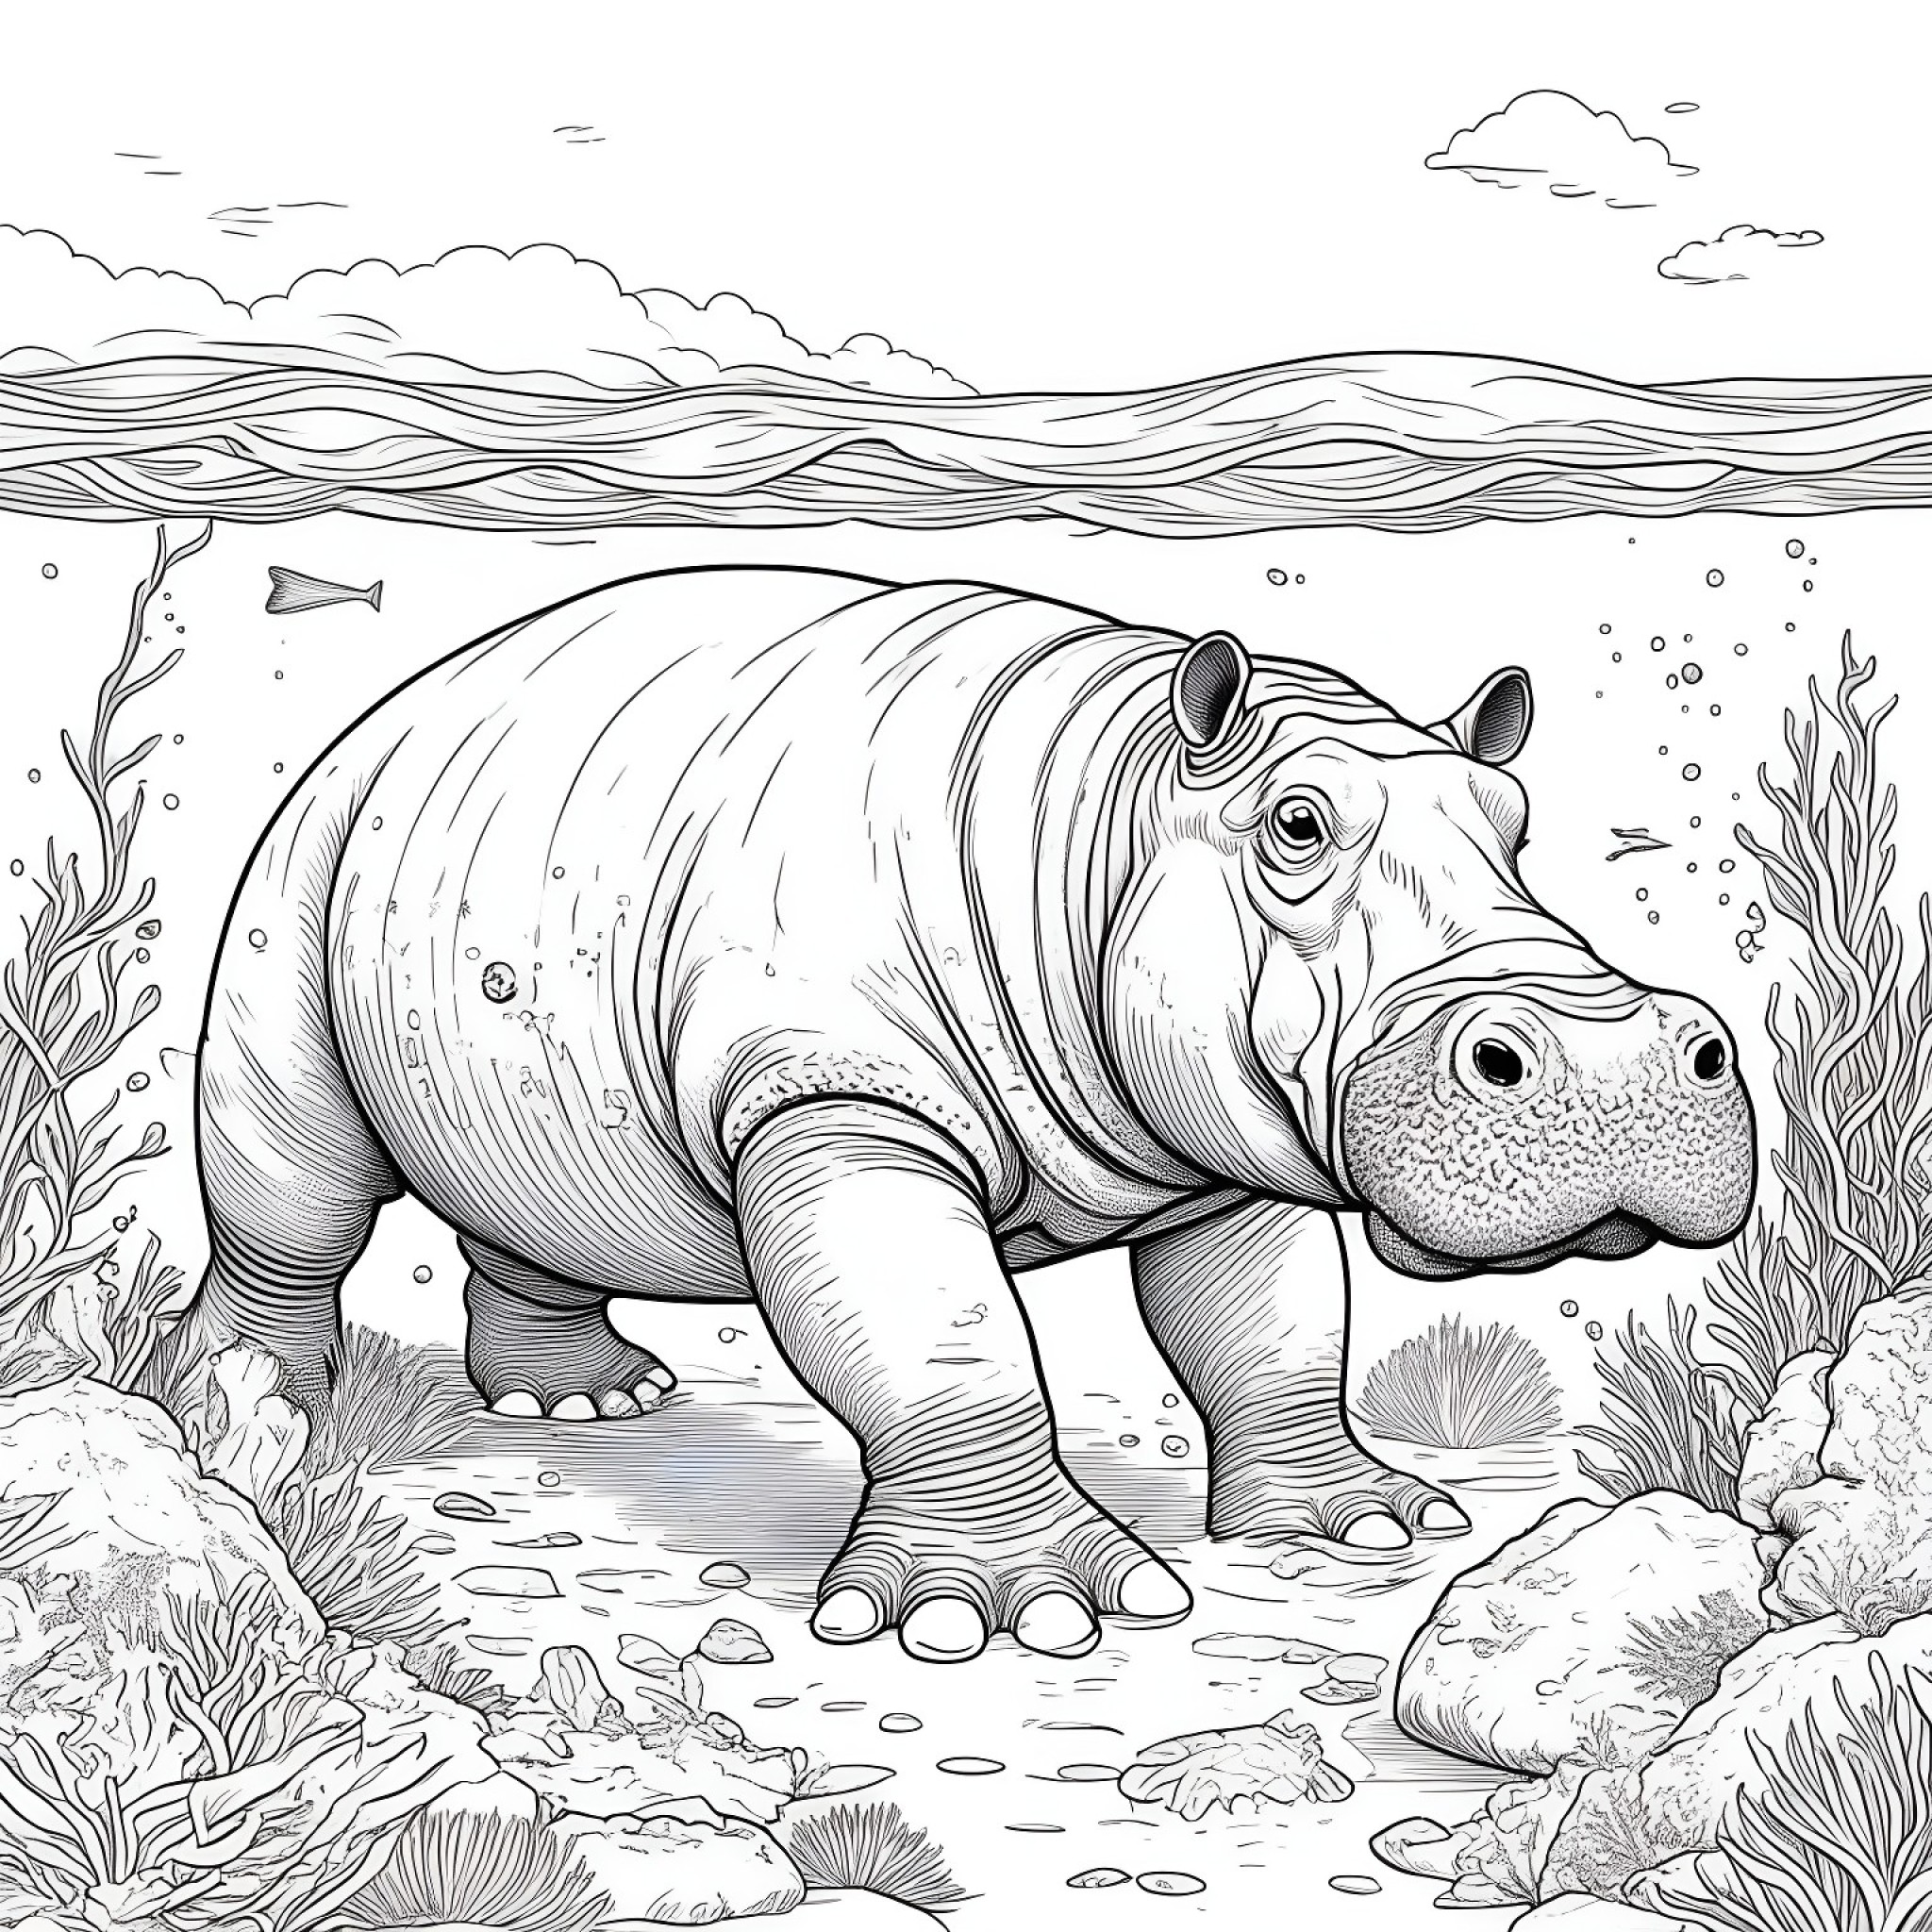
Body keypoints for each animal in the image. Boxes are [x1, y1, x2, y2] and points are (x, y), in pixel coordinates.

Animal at [163, 566, 1754, 1663]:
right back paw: (245, 1408)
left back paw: (588, 1403)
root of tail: (392, 704)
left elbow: (1272, 1328)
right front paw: (1017, 1618)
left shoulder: (1229, 1152)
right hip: (293, 871)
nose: (1620, 1055)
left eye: (1518, 828)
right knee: (293, 1185)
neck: (1109, 810)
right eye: (1296, 828)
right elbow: (947, 1336)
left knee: (534, 1198)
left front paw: (1364, 1525)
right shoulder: (840, 1097)